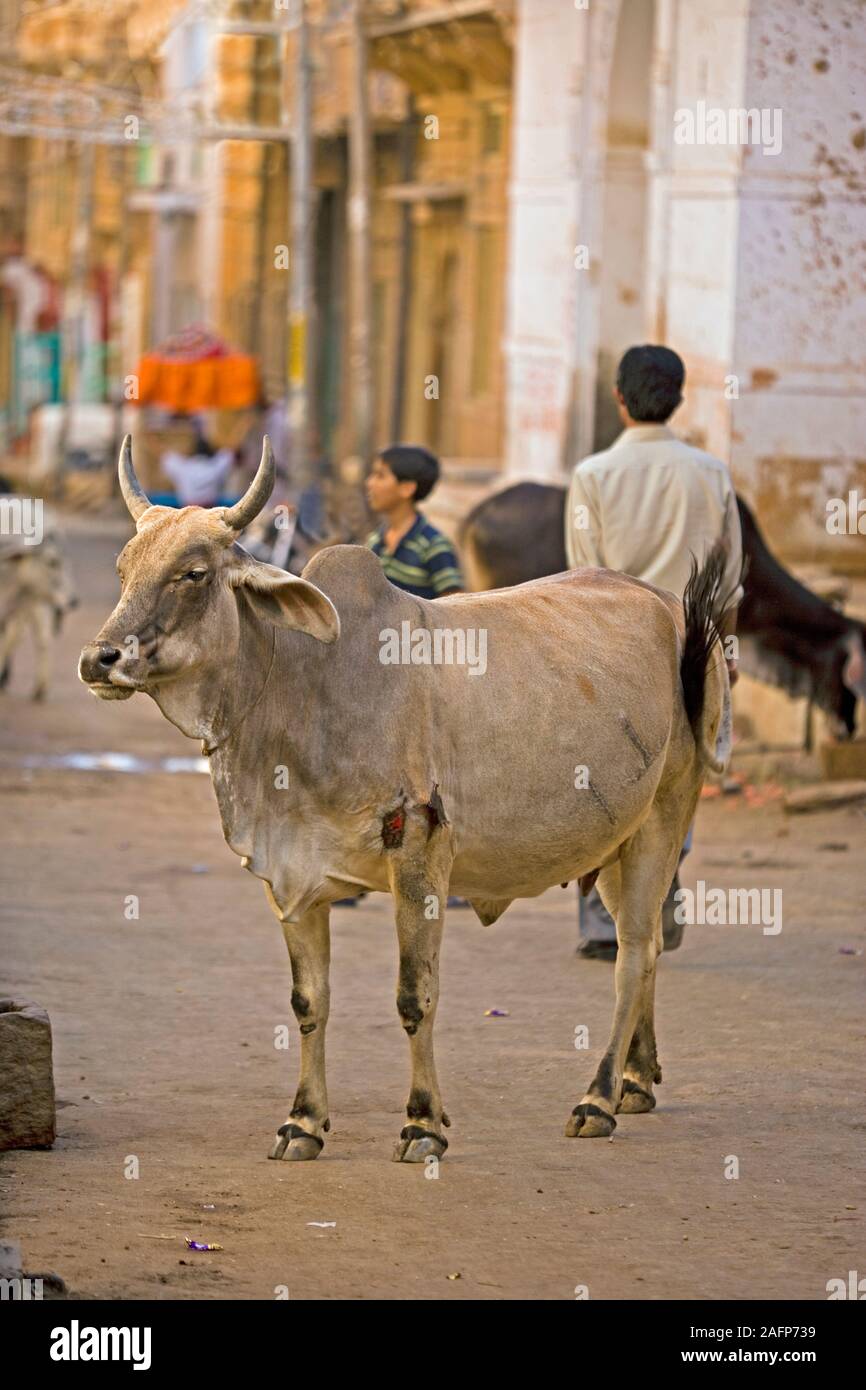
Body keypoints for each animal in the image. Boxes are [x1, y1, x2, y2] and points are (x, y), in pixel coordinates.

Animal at [79, 437, 732, 1162]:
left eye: (192, 573)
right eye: (124, 567)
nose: (100, 659)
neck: (305, 684)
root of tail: (667, 604)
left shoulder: (419, 855)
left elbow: (415, 998)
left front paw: (422, 1125)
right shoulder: (292, 876)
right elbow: (309, 1001)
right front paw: (302, 1122)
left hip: (664, 817)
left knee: (634, 953)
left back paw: (598, 1098)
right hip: (615, 840)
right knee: (643, 948)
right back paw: (636, 1081)